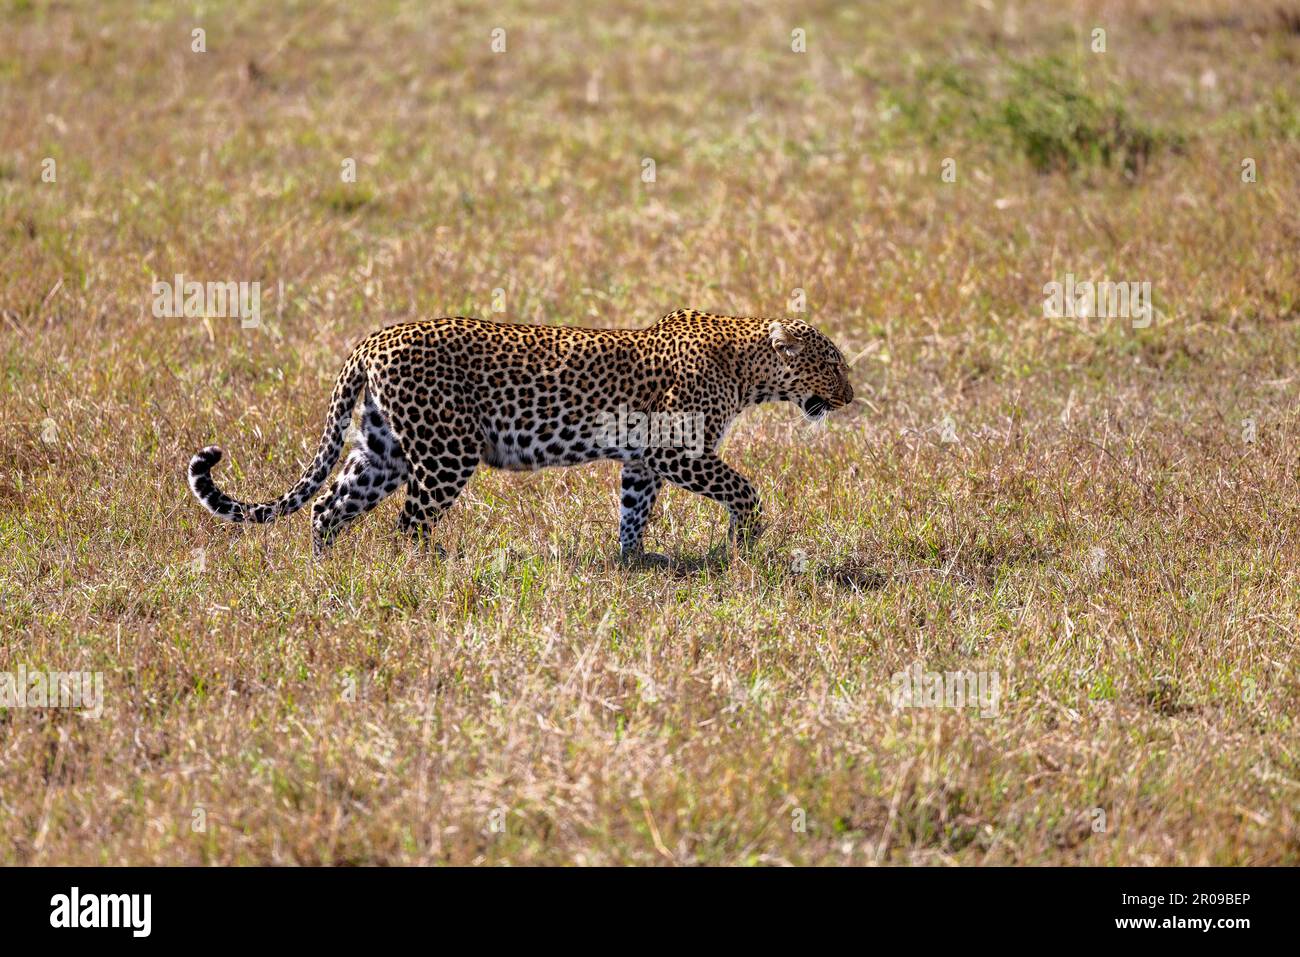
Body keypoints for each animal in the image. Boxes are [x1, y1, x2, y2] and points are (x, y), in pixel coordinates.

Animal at [187, 309, 855, 563]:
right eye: (833, 365)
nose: (850, 396)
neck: (748, 370)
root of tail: (371, 340)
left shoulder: (643, 459)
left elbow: (634, 509)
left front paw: (633, 561)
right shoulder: (677, 449)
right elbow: (744, 488)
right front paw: (746, 541)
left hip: (384, 449)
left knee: (328, 505)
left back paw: (323, 569)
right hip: (446, 451)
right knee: (410, 522)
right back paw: (429, 570)